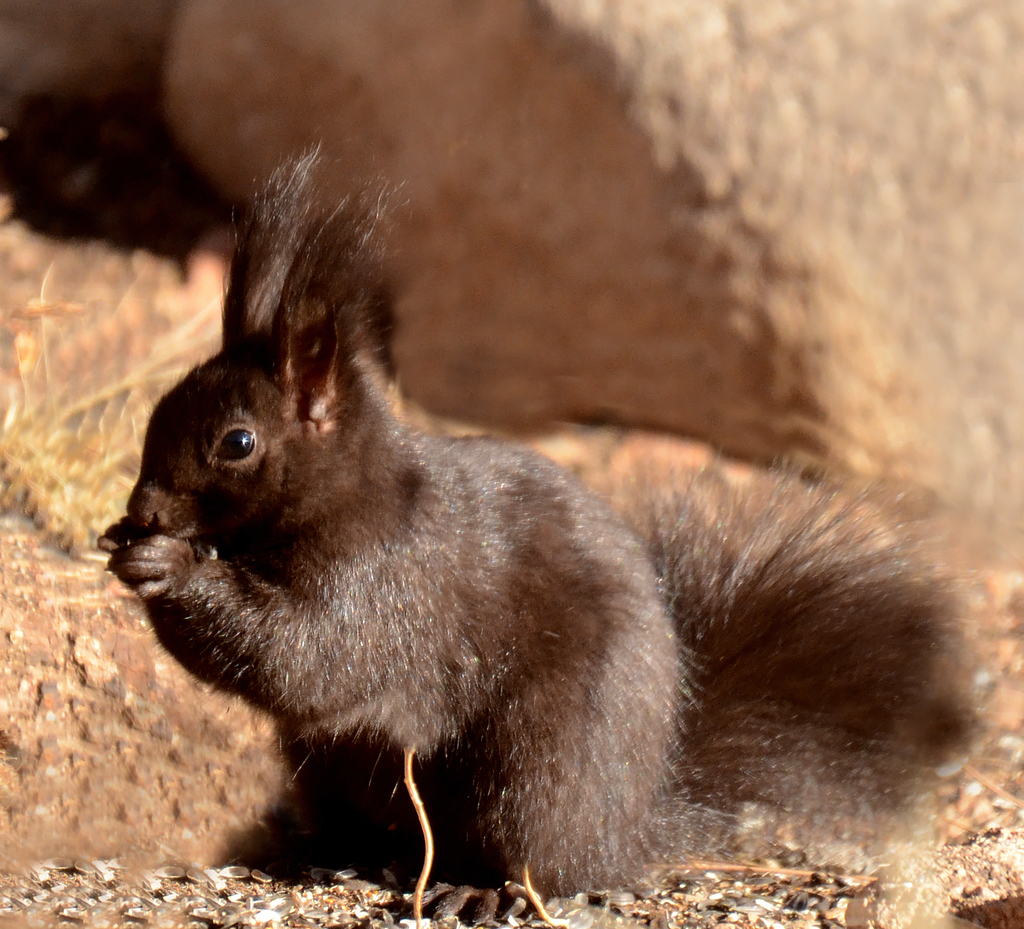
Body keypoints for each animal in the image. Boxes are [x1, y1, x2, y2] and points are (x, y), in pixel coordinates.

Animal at [101, 153, 972, 900]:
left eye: (237, 442)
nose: (143, 510)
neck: (355, 493)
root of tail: (631, 824)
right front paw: (125, 543)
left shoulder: (387, 581)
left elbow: (306, 656)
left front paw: (167, 565)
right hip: (327, 766)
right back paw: (329, 853)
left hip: (542, 762)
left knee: (545, 859)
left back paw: (483, 889)